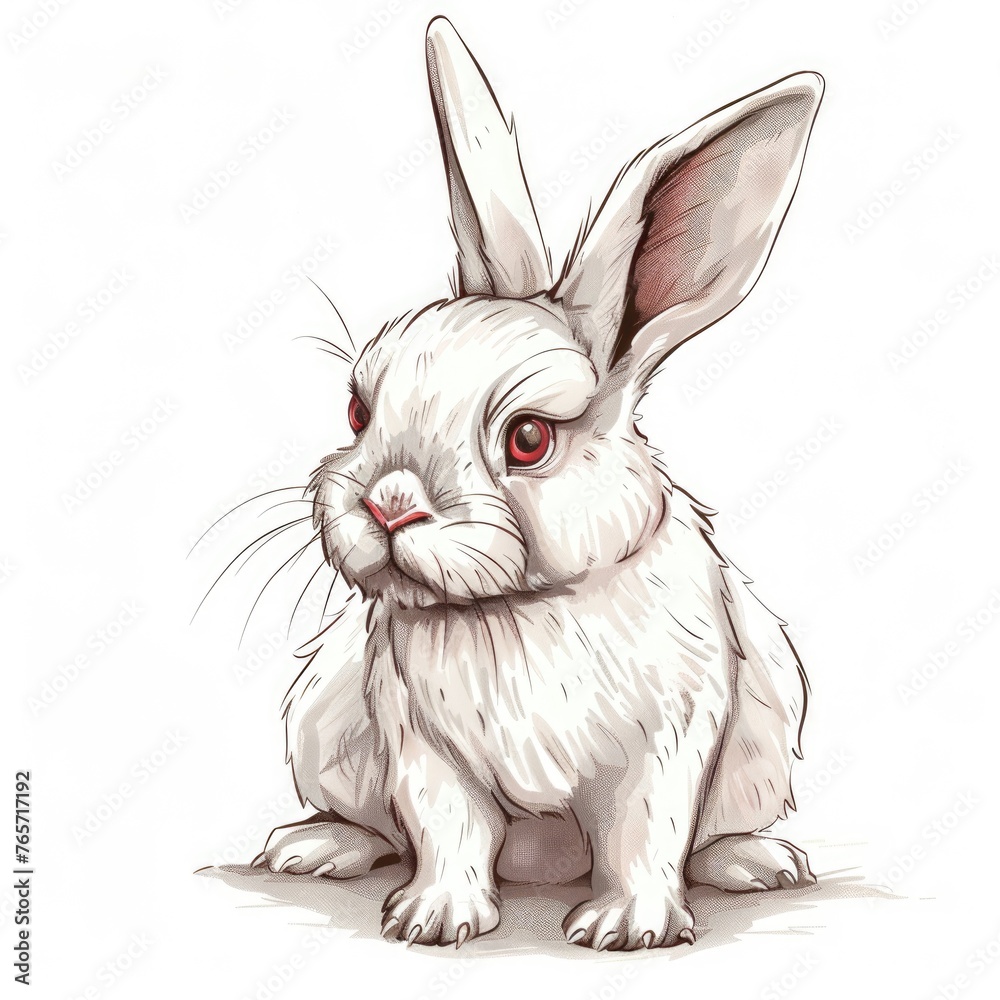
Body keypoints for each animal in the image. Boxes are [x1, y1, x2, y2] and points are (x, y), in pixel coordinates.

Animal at [251, 17, 823, 951]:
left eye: (528, 439)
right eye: (357, 409)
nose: (389, 503)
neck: (516, 606)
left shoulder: (669, 739)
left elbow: (644, 831)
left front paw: (627, 929)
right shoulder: (419, 742)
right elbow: (445, 826)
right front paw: (433, 919)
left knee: (712, 833)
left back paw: (758, 864)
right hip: (322, 718)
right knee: (375, 823)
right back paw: (313, 846)